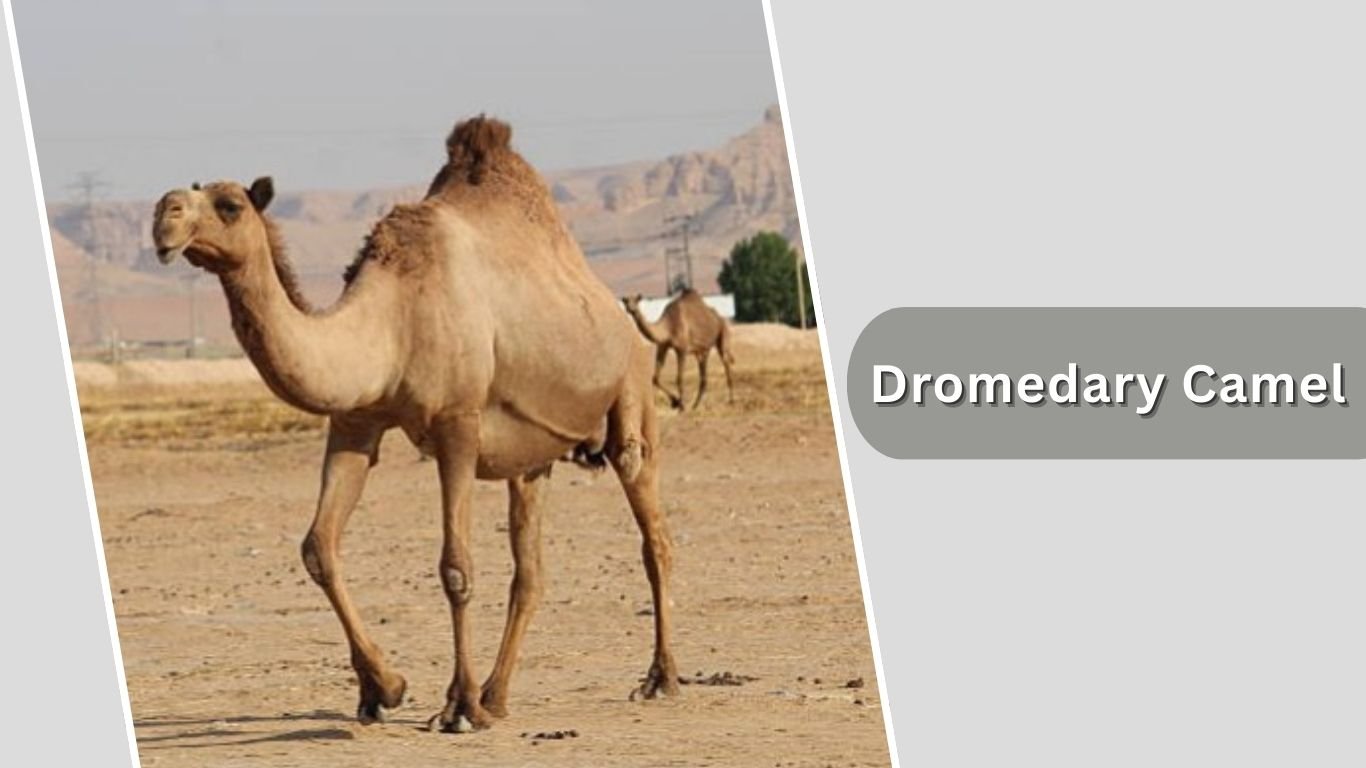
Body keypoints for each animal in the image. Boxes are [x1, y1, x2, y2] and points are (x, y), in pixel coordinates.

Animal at [149, 116, 679, 733]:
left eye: (230, 204)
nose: (165, 213)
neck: (390, 321)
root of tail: (621, 319)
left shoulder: (457, 425)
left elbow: (455, 568)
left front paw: (457, 708)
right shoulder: (355, 422)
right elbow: (318, 547)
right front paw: (383, 688)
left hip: (632, 394)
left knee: (653, 535)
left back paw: (658, 679)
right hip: (534, 458)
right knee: (530, 570)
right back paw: (498, 695)